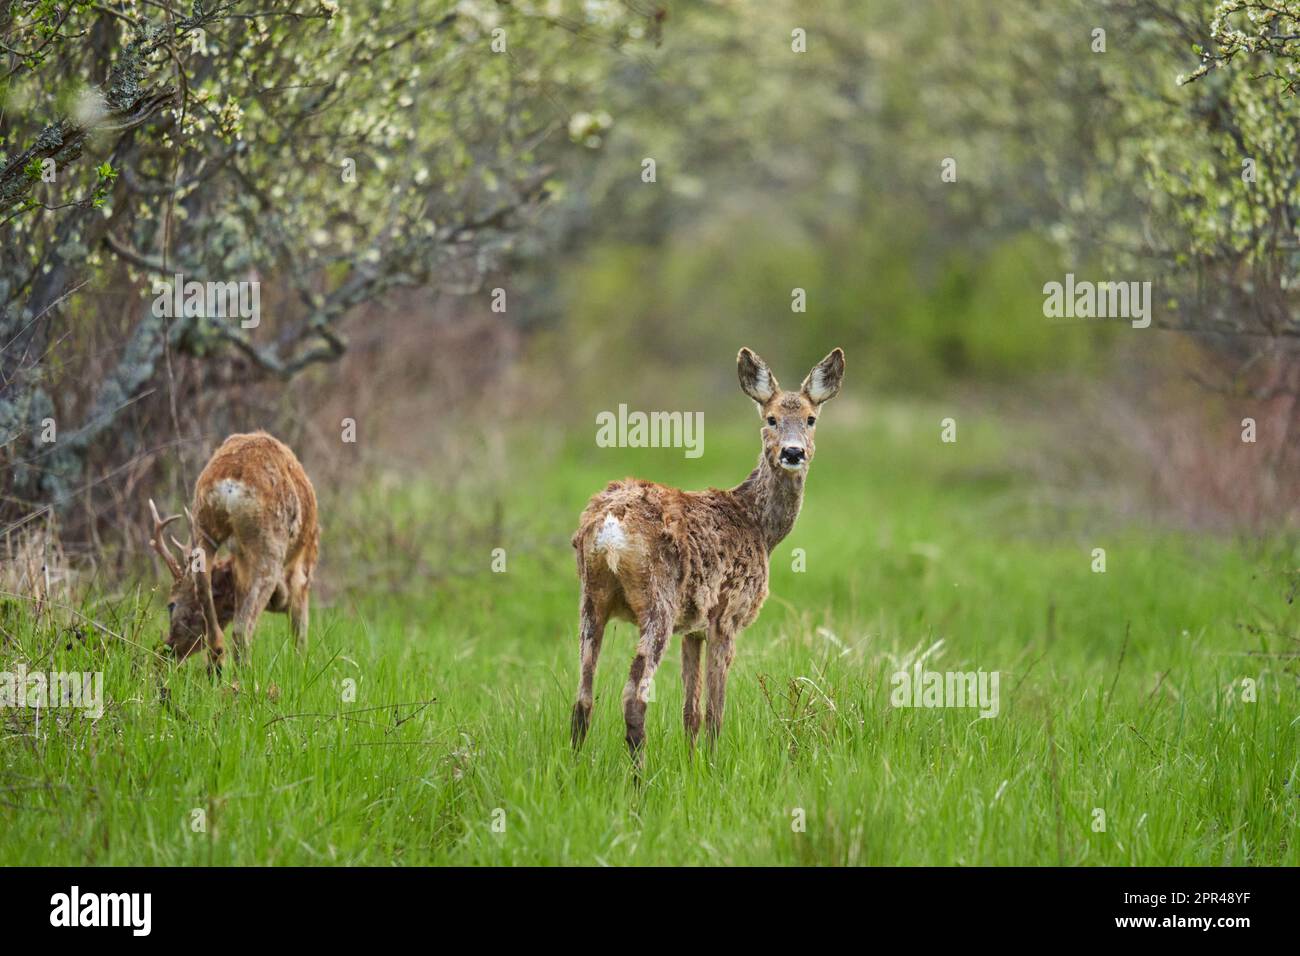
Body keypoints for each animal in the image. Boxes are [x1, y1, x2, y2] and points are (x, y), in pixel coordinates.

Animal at [149, 430, 319, 674]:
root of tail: (232, 477)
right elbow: (301, 637)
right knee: (242, 629)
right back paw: (243, 675)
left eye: (171, 604)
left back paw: (217, 658)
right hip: (269, 545)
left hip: (203, 522)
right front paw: (300, 670)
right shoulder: (302, 579)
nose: (166, 652)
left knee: (203, 581)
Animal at [570, 347, 845, 761]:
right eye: (771, 418)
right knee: (634, 696)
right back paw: (639, 774)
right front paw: (714, 765)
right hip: (658, 600)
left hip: (591, 598)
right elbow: (715, 711)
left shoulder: (693, 629)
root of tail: (610, 525)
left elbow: (691, 712)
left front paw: (691, 762)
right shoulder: (726, 616)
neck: (759, 526)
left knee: (583, 697)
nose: (793, 452)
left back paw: (572, 766)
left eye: (811, 419)